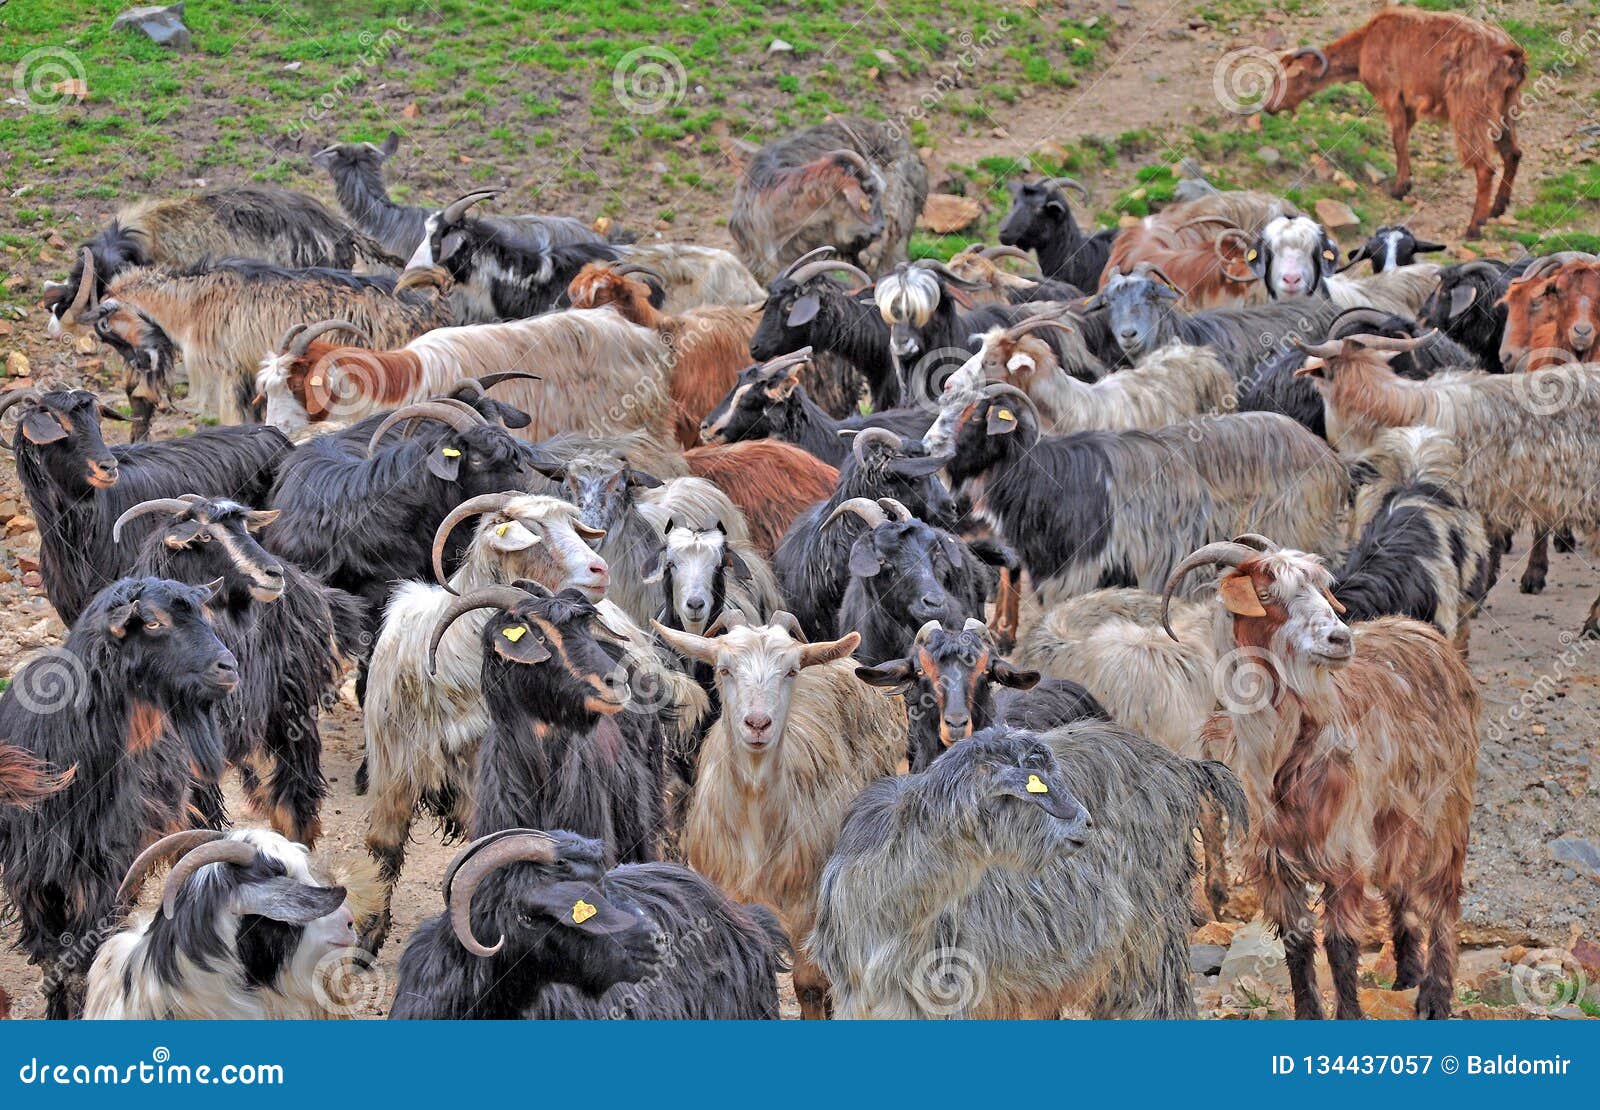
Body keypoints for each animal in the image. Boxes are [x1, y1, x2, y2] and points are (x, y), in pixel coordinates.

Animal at [0, 577, 237, 1018]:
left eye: (203, 614)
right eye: (154, 622)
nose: (228, 667)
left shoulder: (103, 872)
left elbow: (82, 959)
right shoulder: (32, 880)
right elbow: (51, 959)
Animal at [1166, 539, 1480, 1019]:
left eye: (1319, 587)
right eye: (1267, 593)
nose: (1340, 638)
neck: (1286, 755)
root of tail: (1423, 632)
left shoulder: (1343, 848)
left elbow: (1340, 943)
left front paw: (1349, 1014)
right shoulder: (1275, 860)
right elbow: (1297, 942)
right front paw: (1308, 1013)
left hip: (1444, 812)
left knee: (1443, 901)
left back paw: (1433, 998)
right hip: (1393, 821)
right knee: (1402, 894)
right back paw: (1405, 978)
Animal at [1263, 7, 1524, 236]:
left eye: (1286, 79)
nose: (1268, 107)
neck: (1366, 43)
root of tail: (1510, 53)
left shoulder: (1392, 95)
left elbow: (1398, 139)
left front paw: (1399, 188)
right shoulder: (1408, 105)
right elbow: (1403, 138)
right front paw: (1406, 180)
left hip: (1471, 111)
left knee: (1485, 167)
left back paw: (1474, 227)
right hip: (1505, 110)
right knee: (1513, 153)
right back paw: (1497, 208)